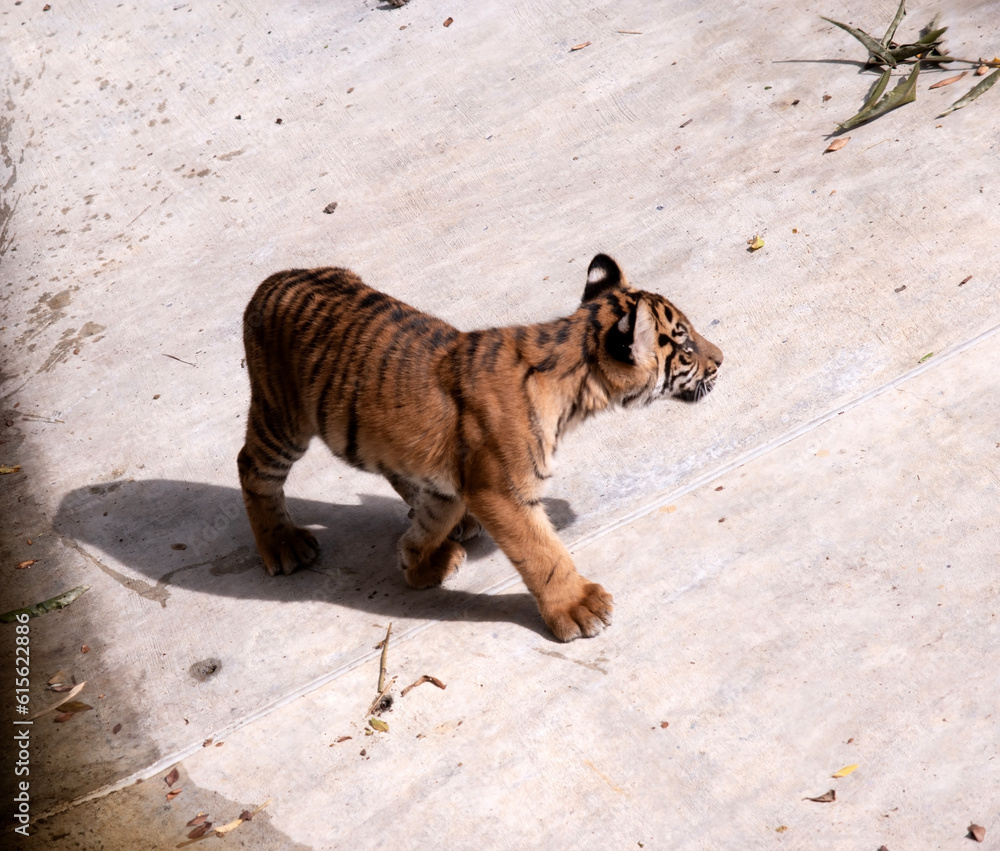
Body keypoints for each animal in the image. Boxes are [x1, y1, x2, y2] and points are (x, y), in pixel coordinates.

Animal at [237, 254, 722, 642]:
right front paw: (578, 607)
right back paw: (282, 545)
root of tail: (274, 279)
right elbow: (543, 553)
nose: (721, 358)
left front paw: (418, 564)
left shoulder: (457, 480)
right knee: (251, 468)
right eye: (684, 345)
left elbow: (432, 519)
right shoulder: (501, 491)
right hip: (282, 418)